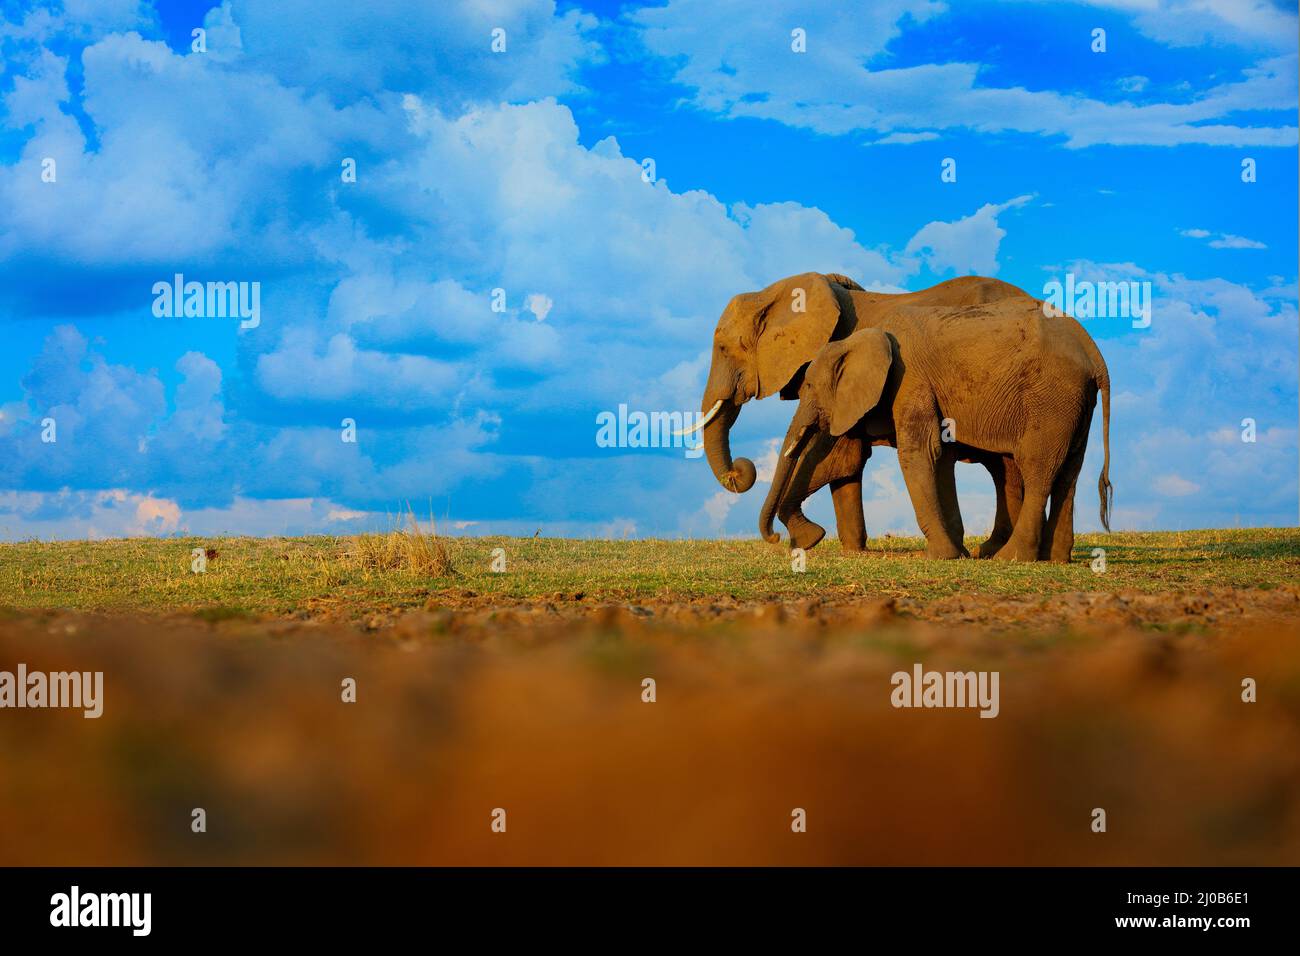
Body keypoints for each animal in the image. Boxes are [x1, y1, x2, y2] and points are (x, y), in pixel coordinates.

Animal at [693, 272, 1064, 555]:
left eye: (724, 348)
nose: (742, 470)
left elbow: (833, 457)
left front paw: (808, 539)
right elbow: (843, 462)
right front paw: (851, 549)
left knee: (1006, 465)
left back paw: (996, 550)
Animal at [758, 292, 1113, 561]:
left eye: (808, 387)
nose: (776, 538)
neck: (866, 335)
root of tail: (1094, 354)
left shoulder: (909, 380)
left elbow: (918, 452)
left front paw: (940, 555)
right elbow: (850, 460)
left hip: (1050, 397)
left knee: (1037, 467)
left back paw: (1012, 558)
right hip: (1074, 402)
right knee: (1068, 471)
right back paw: (1054, 558)